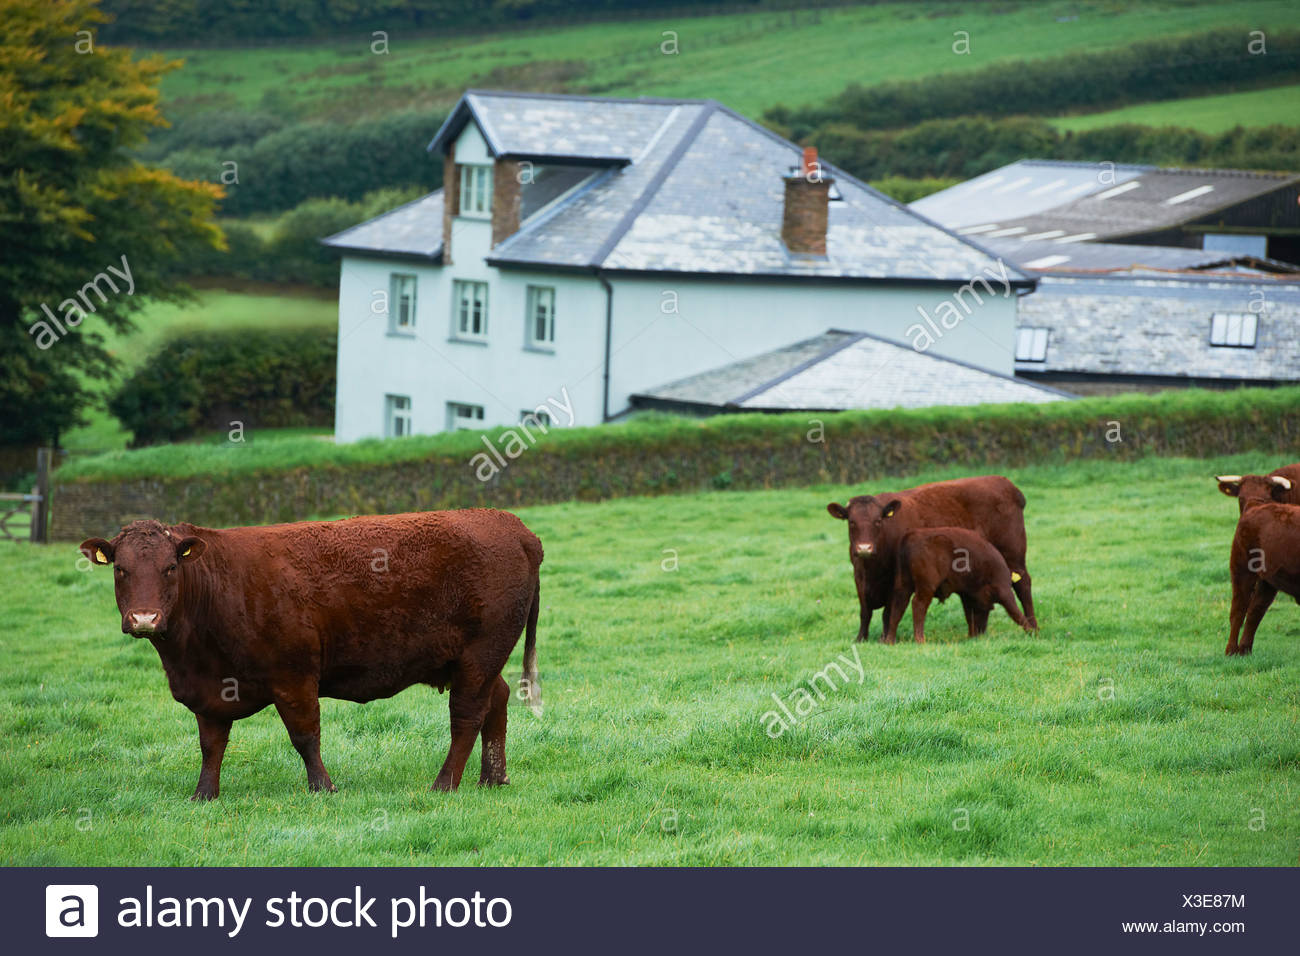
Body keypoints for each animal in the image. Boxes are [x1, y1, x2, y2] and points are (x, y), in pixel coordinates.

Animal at [80, 510, 543, 799]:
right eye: (120, 569)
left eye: (170, 568)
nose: (144, 618)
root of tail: (514, 526)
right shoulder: (209, 690)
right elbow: (211, 744)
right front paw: (204, 794)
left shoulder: (294, 676)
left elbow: (304, 736)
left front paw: (323, 787)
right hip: (478, 660)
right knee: (497, 701)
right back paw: (492, 778)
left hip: (480, 654)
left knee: (466, 717)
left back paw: (444, 784)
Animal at [883, 527, 1031, 644]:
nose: (979, 633)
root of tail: (912, 536)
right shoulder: (1004, 590)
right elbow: (1016, 613)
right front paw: (1032, 632)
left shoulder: (966, 595)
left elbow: (968, 615)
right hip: (926, 587)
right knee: (918, 605)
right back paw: (920, 640)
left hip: (903, 585)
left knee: (898, 606)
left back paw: (890, 640)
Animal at [1225, 502, 1300, 655]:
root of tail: (1254, 507)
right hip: (1242, 571)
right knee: (1238, 610)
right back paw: (1231, 651)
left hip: (1267, 582)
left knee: (1255, 611)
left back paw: (1245, 650)